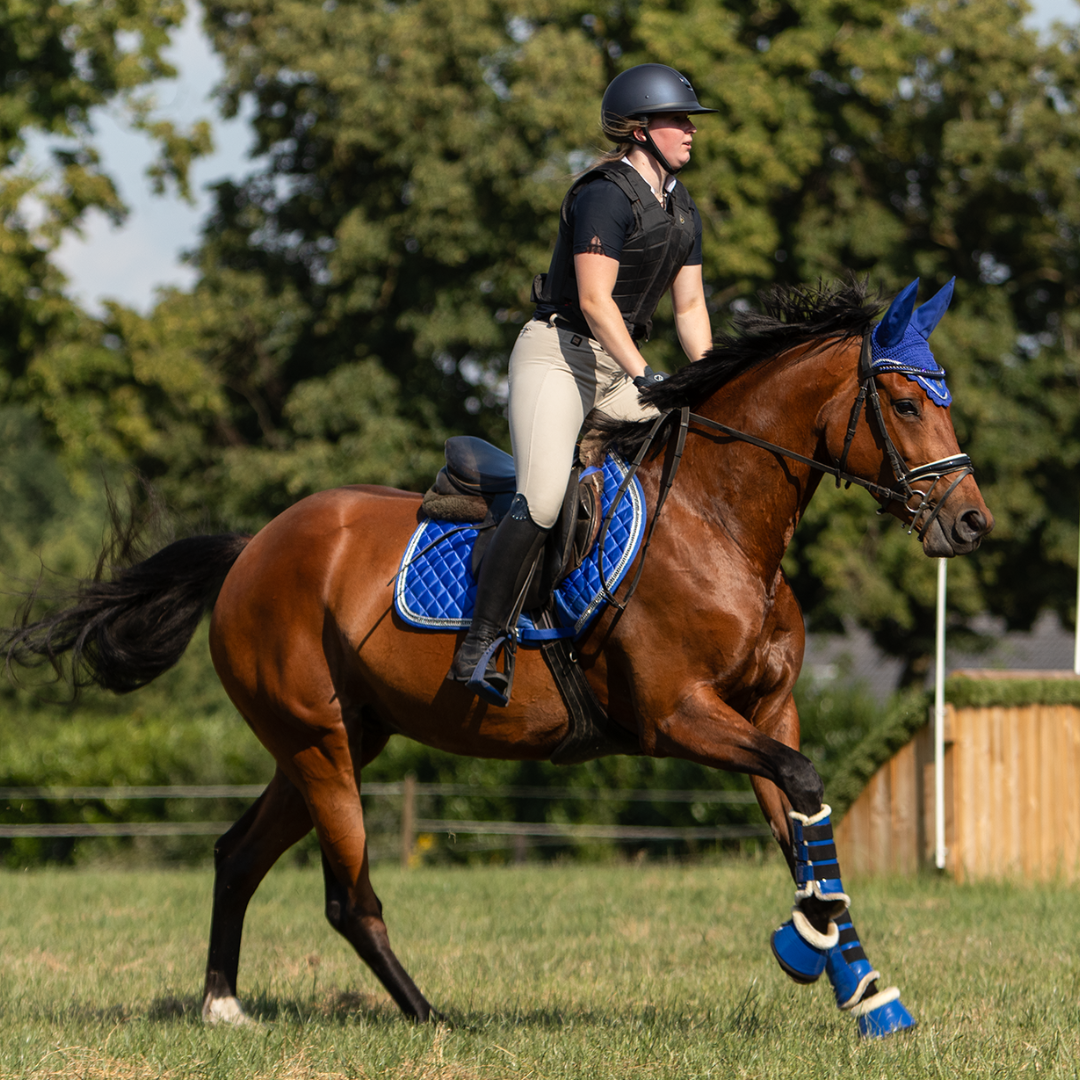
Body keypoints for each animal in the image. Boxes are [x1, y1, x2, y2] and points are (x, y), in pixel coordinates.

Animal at [3, 278, 992, 1037]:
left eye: (942, 398)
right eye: (907, 403)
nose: (972, 522)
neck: (721, 522)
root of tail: (252, 548)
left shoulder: (764, 710)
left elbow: (803, 828)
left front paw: (863, 990)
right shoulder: (678, 717)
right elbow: (803, 791)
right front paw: (809, 949)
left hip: (337, 739)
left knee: (238, 855)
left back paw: (222, 1008)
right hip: (321, 745)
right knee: (348, 897)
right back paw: (433, 1020)